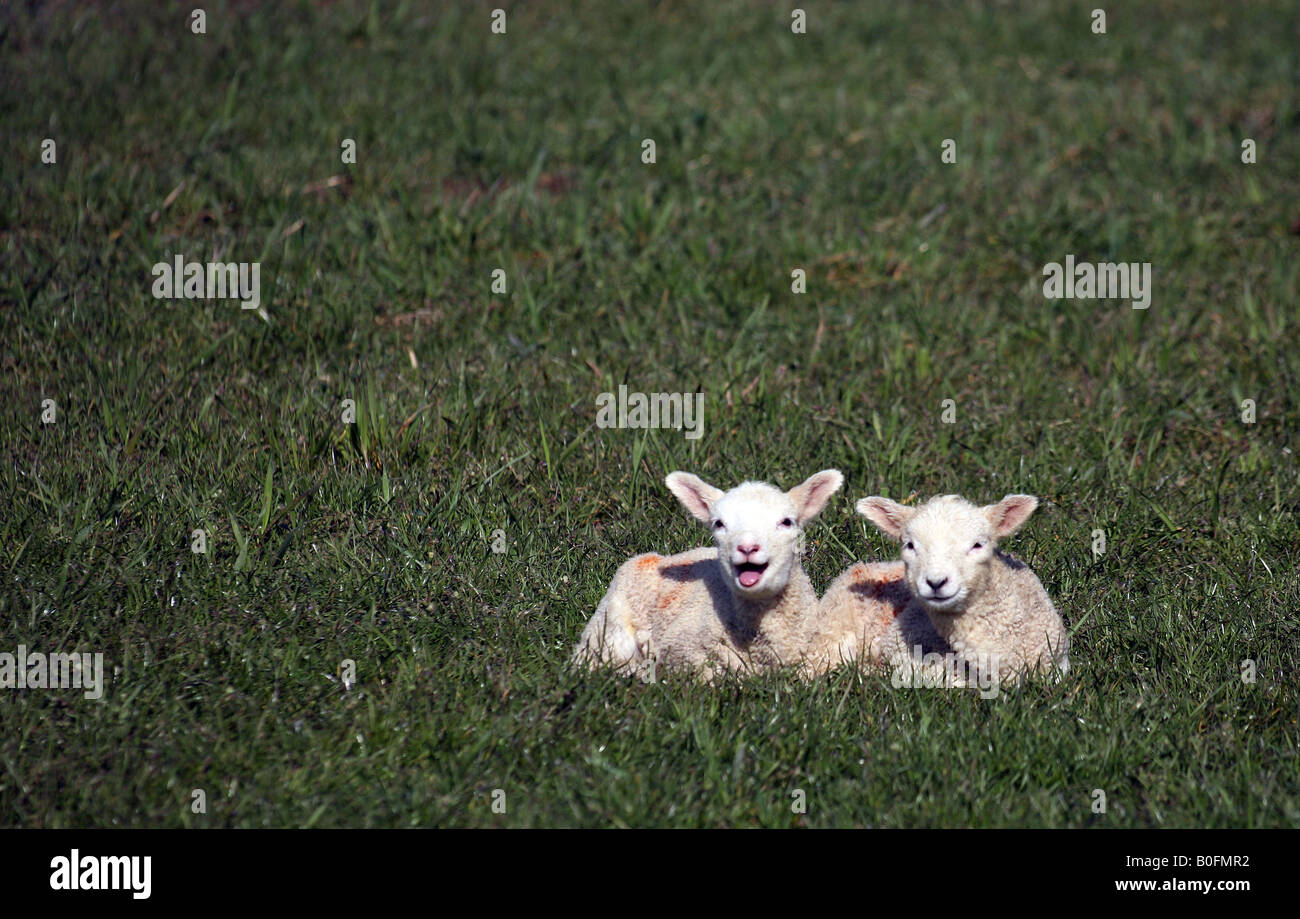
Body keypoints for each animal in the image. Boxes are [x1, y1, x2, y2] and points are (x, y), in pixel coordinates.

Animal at [571, 469, 844, 680]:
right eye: (719, 524)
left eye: (787, 522)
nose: (747, 547)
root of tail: (650, 558)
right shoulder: (683, 649)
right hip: (606, 632)